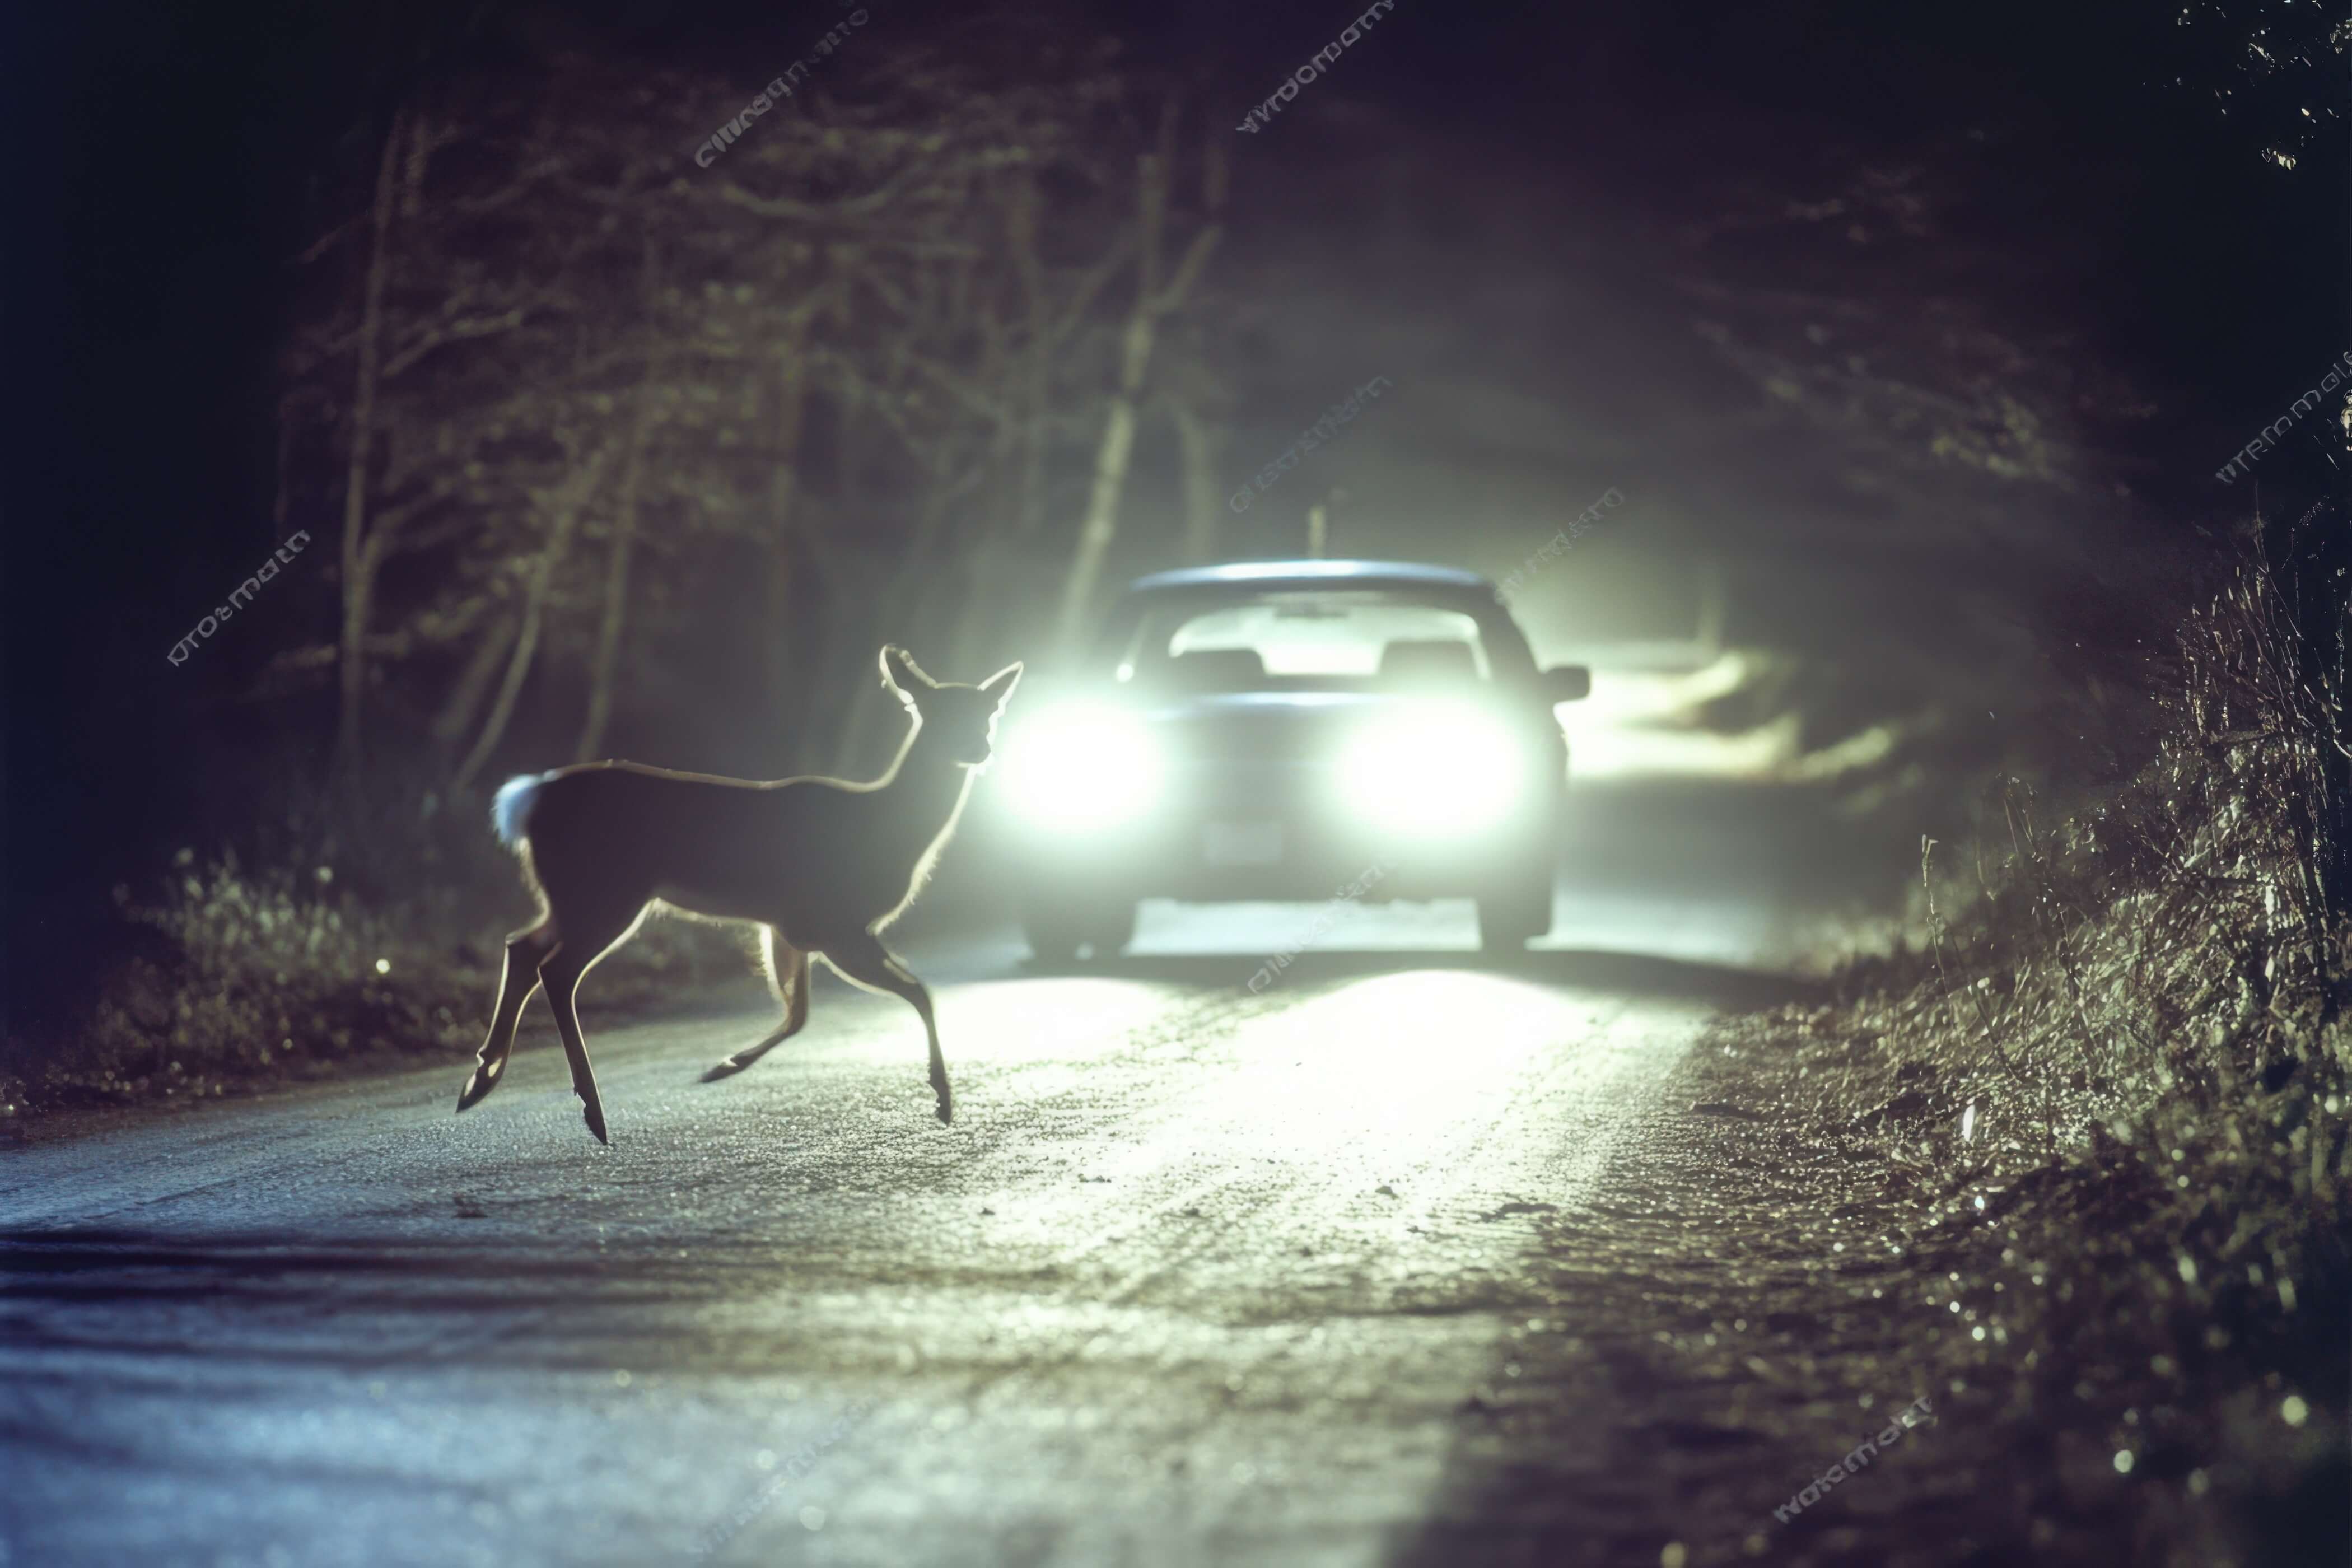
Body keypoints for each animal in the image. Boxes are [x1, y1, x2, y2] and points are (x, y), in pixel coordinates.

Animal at [454, 646, 1022, 1143]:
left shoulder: (792, 926)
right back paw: (591, 1110)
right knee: (557, 969)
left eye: (988, 712)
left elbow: (800, 1013)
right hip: (608, 891)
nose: (981, 748)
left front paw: (725, 1065)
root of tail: (527, 799)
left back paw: (481, 1079)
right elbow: (918, 993)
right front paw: (943, 1097)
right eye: (935, 713)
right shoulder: (836, 923)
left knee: (522, 947)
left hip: (572, 897)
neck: (889, 831)